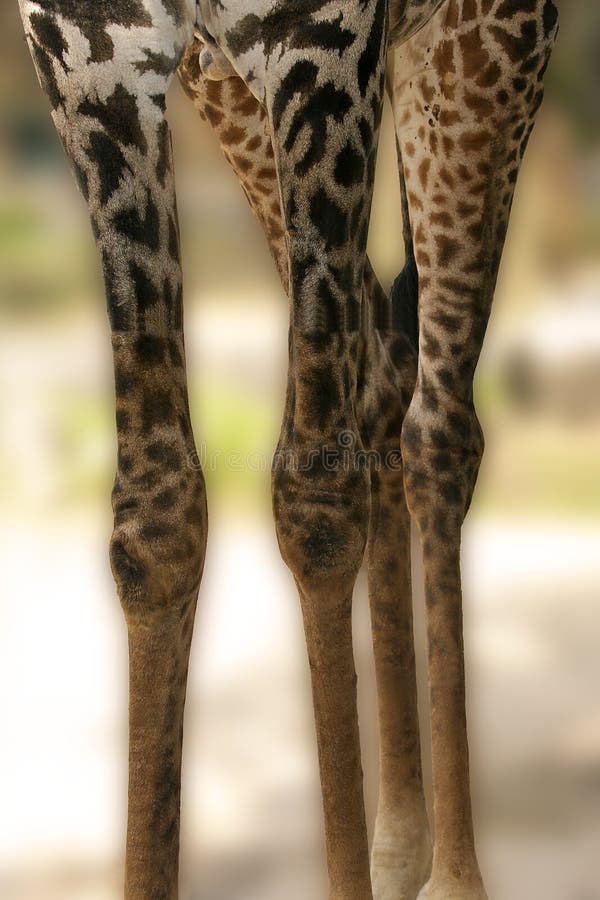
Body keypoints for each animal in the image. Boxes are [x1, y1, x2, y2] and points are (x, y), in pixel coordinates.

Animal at [17, 1, 558, 899]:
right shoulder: (89, 50)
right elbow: (154, 519)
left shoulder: (327, 43)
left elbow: (317, 506)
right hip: (234, 91)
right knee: (381, 372)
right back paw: (397, 844)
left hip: (484, 52)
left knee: (439, 425)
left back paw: (452, 875)